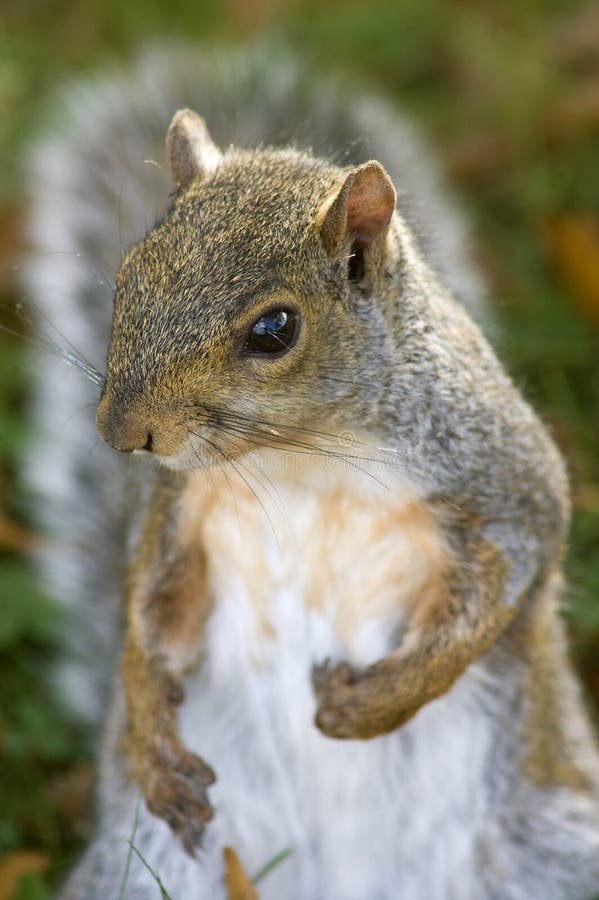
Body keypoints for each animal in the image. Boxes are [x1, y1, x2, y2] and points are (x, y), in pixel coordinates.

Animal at [23, 44, 599, 900]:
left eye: (274, 329)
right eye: (129, 272)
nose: (121, 434)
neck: (300, 457)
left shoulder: (498, 479)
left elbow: (500, 588)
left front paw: (365, 707)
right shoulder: (178, 509)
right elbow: (148, 612)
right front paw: (149, 732)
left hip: (551, 848)